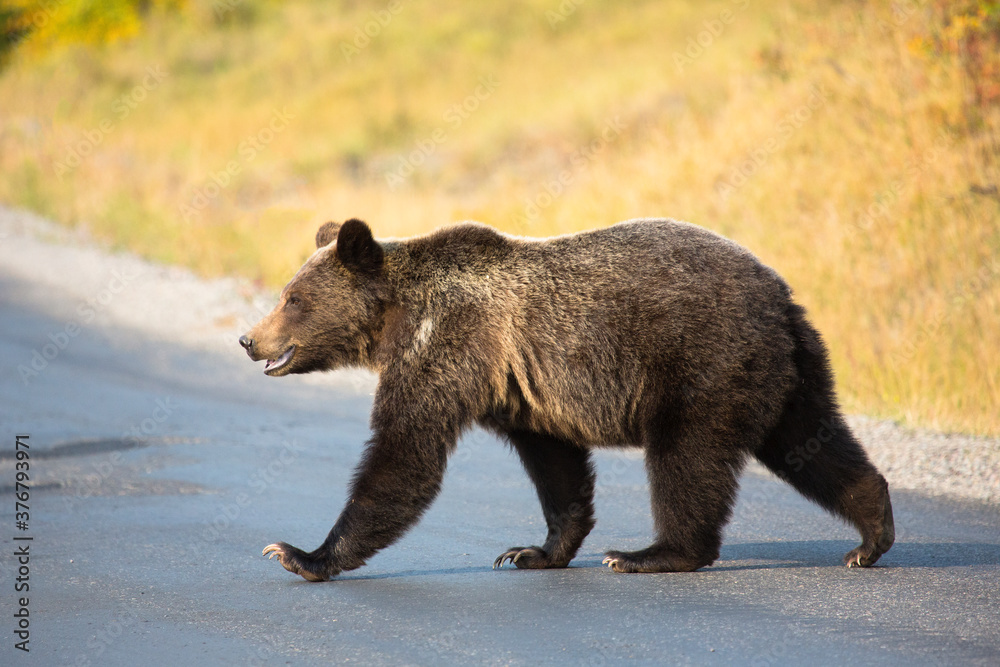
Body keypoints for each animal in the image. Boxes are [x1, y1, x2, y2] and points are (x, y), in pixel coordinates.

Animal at [239, 217, 895, 582]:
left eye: (292, 298)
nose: (249, 339)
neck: (395, 320)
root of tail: (780, 296)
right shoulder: (519, 387)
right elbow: (555, 464)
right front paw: (533, 550)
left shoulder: (449, 348)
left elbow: (404, 456)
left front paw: (300, 553)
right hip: (788, 371)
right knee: (812, 441)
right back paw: (870, 537)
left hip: (702, 362)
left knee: (687, 459)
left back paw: (650, 553)